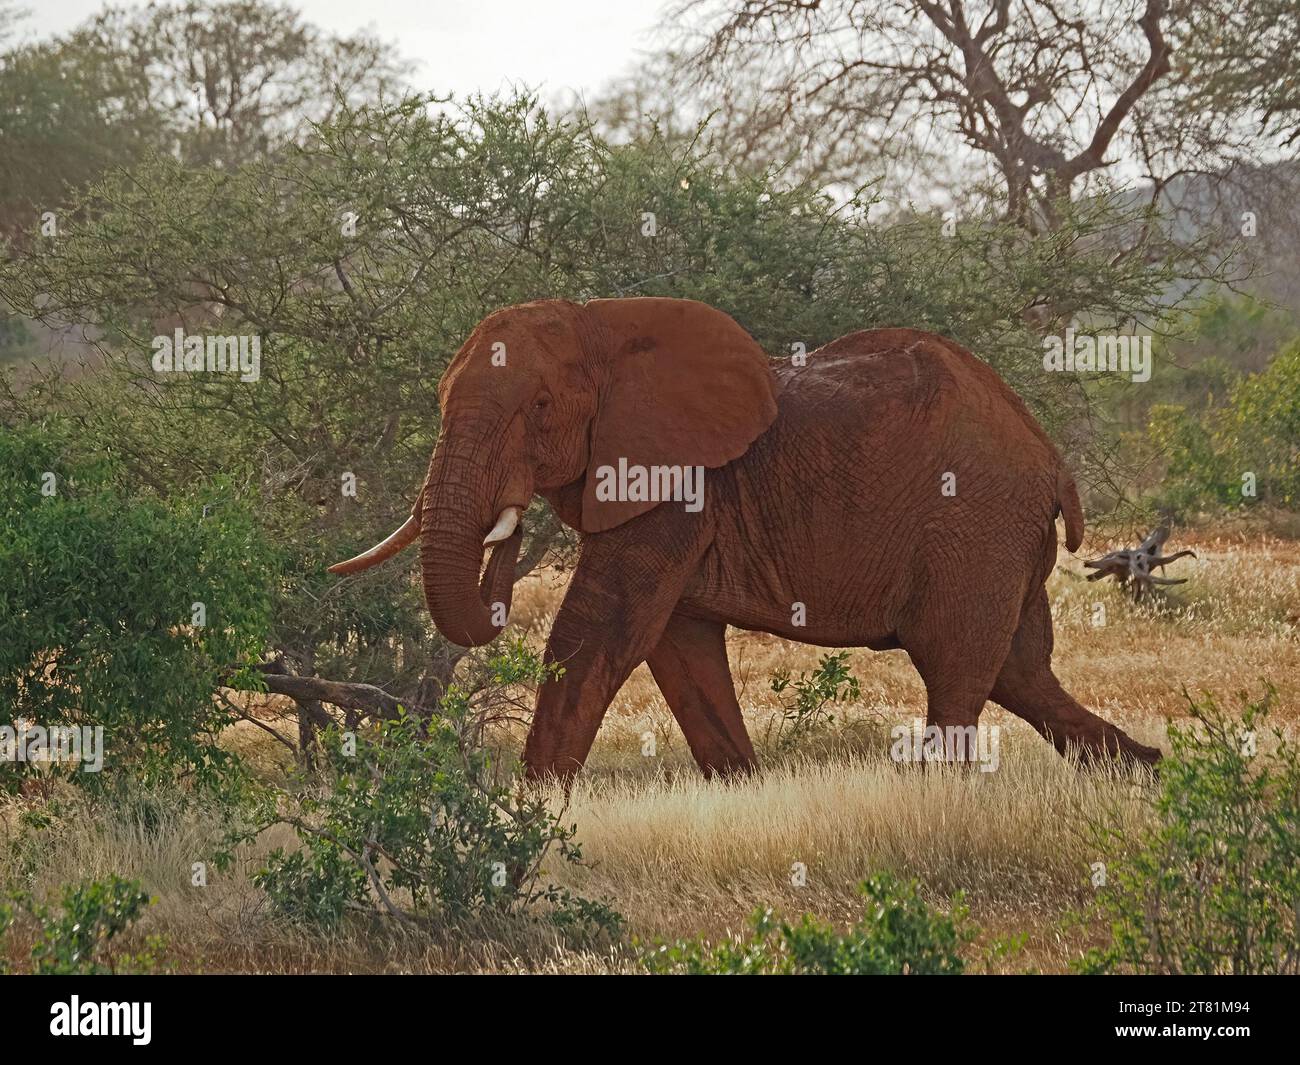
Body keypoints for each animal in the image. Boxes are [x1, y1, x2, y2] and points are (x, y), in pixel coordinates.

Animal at [331, 297, 1162, 780]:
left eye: (537, 406)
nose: (506, 524)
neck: (602, 323)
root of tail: (1050, 456)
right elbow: (678, 647)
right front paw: (742, 782)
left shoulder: (671, 485)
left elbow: (598, 631)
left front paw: (534, 804)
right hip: (999, 537)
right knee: (1022, 672)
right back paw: (1147, 772)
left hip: (975, 525)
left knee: (958, 668)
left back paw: (935, 792)